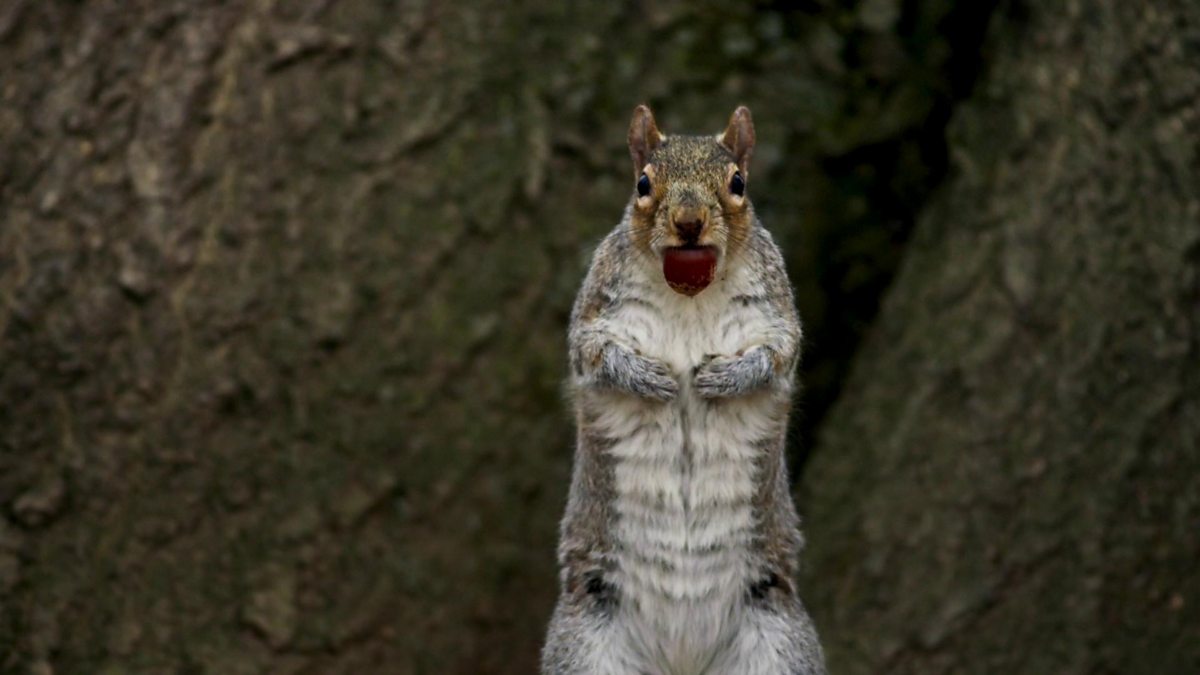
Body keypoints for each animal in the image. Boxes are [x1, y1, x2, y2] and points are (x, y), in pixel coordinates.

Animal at [541, 105, 826, 675]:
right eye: (642, 183)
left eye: (738, 183)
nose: (689, 222)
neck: (690, 293)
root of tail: (683, 659)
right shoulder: (594, 315)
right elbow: (593, 355)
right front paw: (650, 377)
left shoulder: (778, 316)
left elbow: (777, 357)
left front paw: (724, 377)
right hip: (585, 642)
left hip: (779, 639)